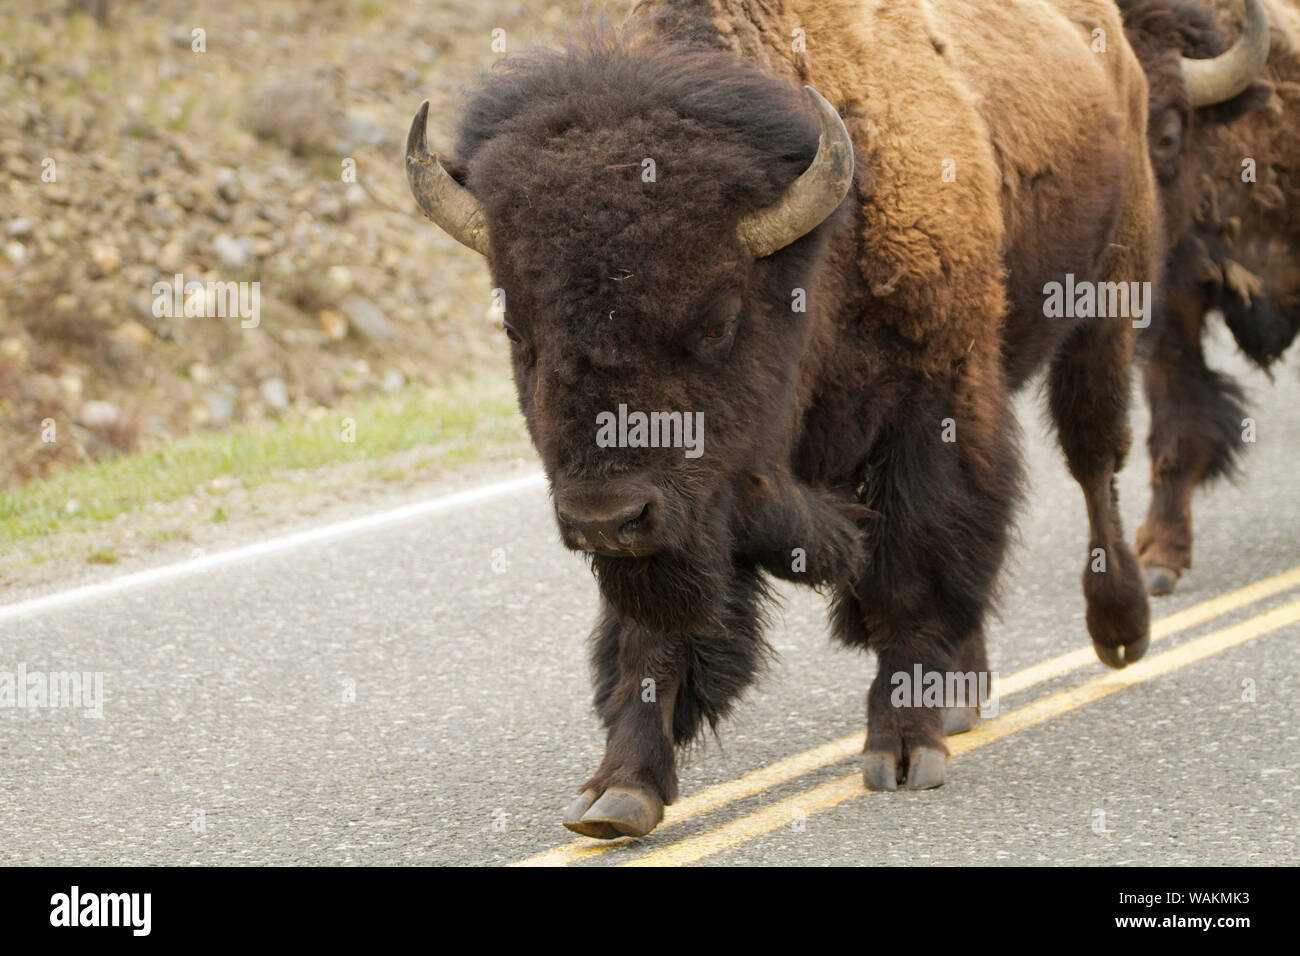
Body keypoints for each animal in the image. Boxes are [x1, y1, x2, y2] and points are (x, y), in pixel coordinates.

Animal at [407, 0, 1159, 839]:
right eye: (515, 327)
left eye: (716, 320)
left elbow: (912, 571)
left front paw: (903, 751)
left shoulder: (931, 411)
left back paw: (1119, 630)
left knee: (1093, 461)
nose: (603, 515)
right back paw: (964, 692)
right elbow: (650, 633)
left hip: (1107, 295)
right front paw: (618, 792)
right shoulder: (680, 512)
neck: (823, 247)